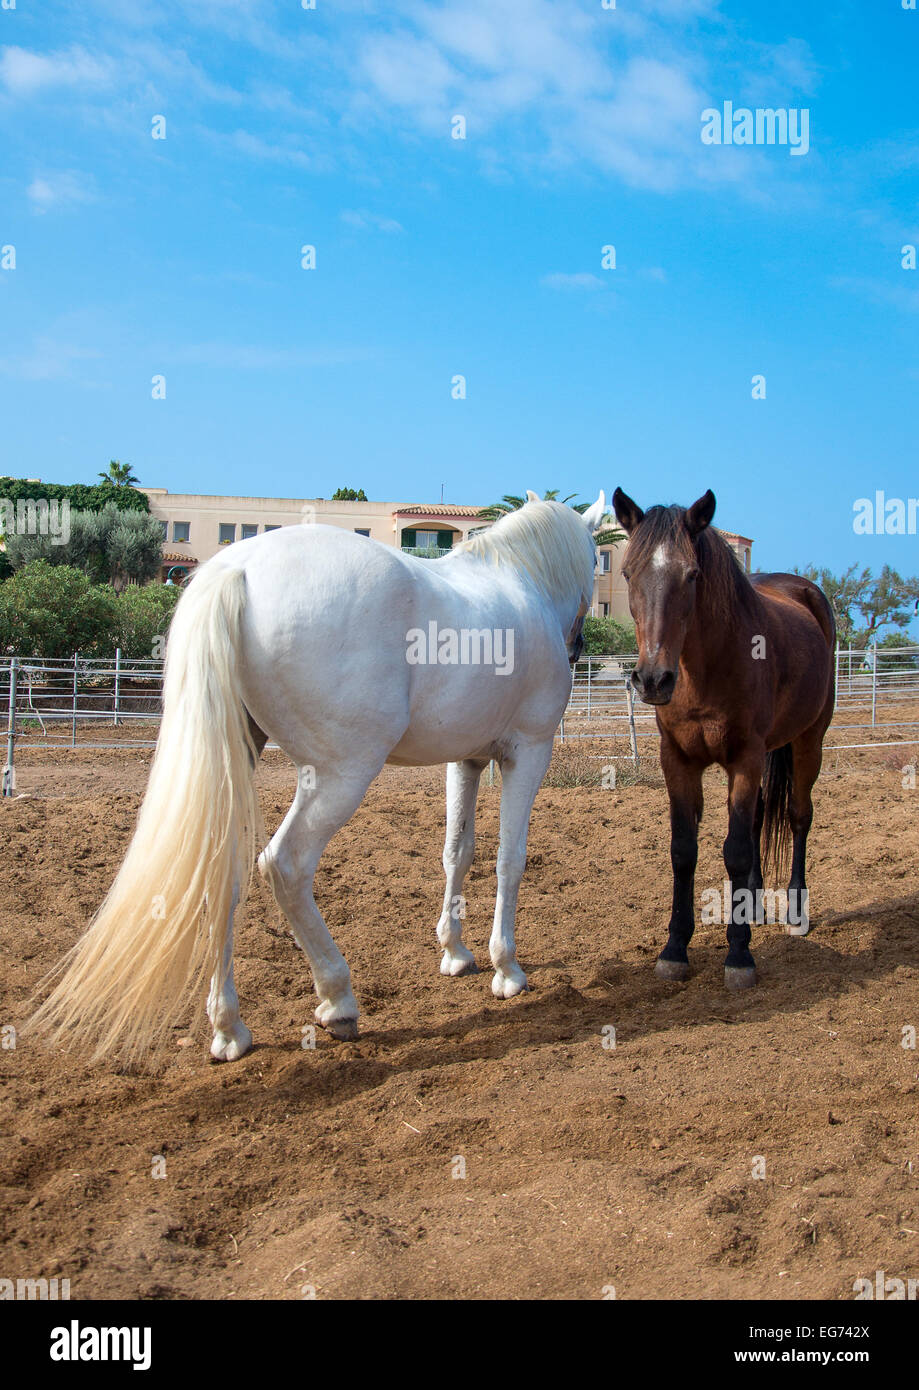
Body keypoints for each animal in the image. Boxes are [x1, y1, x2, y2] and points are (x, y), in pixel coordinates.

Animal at [28, 490, 606, 1064]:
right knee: (285, 866)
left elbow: (457, 853)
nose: (579, 645)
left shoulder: (466, 760)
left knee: (223, 873)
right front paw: (506, 969)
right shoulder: (527, 752)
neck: (522, 583)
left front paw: (456, 952)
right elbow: (510, 858)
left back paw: (229, 1029)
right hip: (341, 776)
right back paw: (337, 1000)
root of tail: (239, 567)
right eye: (595, 557)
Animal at [611, 487, 836, 989]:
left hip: (809, 740)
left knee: (798, 816)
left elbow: (733, 851)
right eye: (628, 572)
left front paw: (739, 956)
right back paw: (753, 902)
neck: (705, 669)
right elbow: (684, 850)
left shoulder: (744, 757)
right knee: (758, 819)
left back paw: (795, 911)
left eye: (692, 574)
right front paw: (674, 949)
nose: (652, 679)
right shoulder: (677, 760)